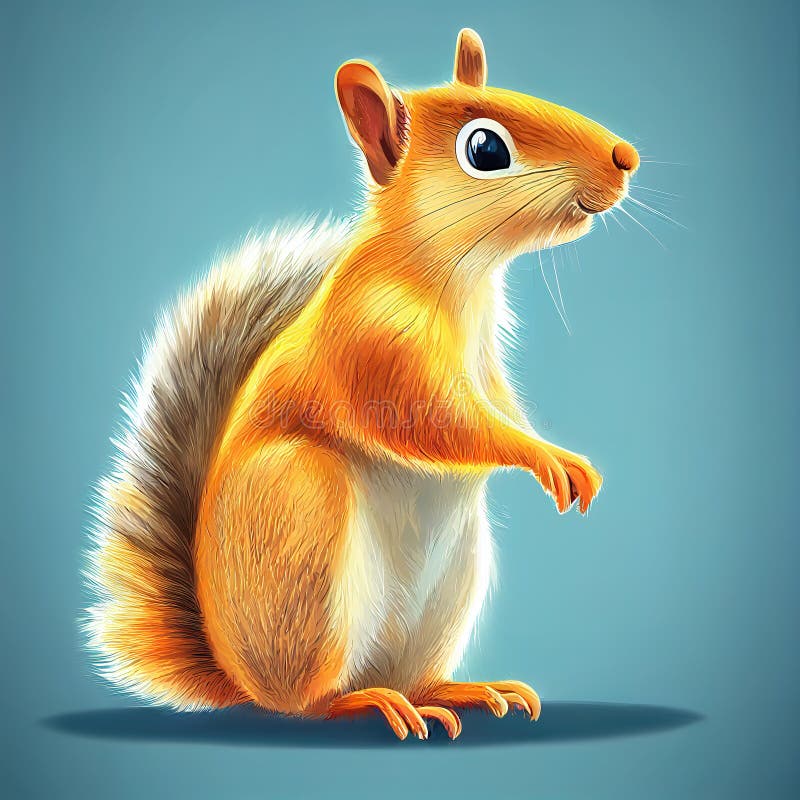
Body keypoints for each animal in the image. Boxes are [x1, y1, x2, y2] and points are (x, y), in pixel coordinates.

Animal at [86, 29, 638, 740]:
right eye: (485, 150)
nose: (625, 157)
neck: (452, 275)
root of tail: (238, 675)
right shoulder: (375, 341)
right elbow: (434, 421)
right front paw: (545, 458)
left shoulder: (486, 363)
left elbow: (499, 405)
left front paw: (558, 452)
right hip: (304, 521)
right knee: (302, 702)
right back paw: (362, 703)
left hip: (452, 583)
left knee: (409, 675)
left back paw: (459, 690)